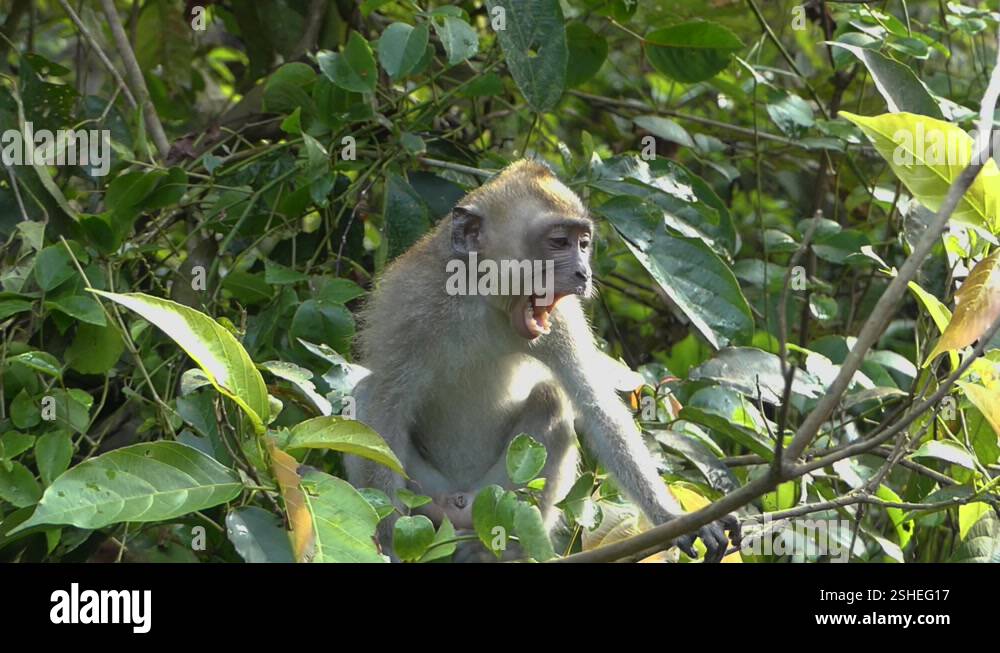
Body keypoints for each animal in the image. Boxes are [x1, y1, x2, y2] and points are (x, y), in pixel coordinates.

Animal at [346, 159, 739, 562]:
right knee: (363, 394)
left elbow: (597, 408)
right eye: (558, 242)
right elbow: (386, 410)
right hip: (425, 492)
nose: (584, 272)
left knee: (552, 398)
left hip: (496, 494)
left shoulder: (562, 320)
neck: (481, 297)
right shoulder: (408, 307)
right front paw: (388, 545)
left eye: (583, 244)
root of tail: (458, 503)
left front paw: (672, 516)